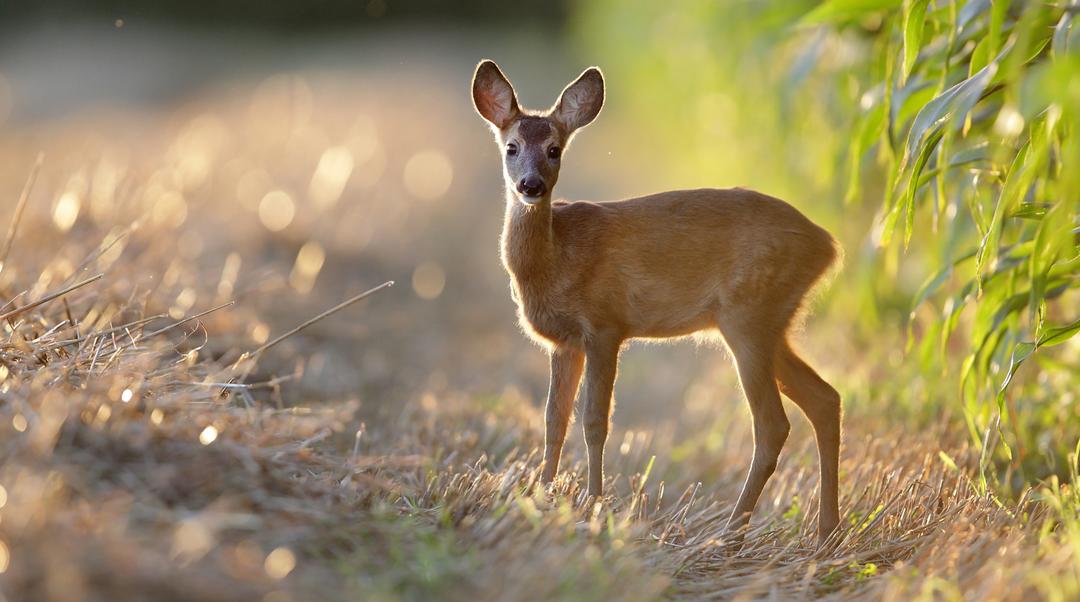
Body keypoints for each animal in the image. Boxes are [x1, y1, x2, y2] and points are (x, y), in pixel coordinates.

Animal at [470, 59, 843, 545]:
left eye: (554, 150)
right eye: (511, 147)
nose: (530, 186)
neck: (557, 257)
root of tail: (828, 246)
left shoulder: (605, 325)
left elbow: (595, 421)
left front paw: (593, 503)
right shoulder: (564, 343)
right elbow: (554, 420)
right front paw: (542, 495)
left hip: (749, 315)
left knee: (773, 423)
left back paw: (730, 533)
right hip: (772, 322)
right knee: (825, 399)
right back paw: (826, 531)